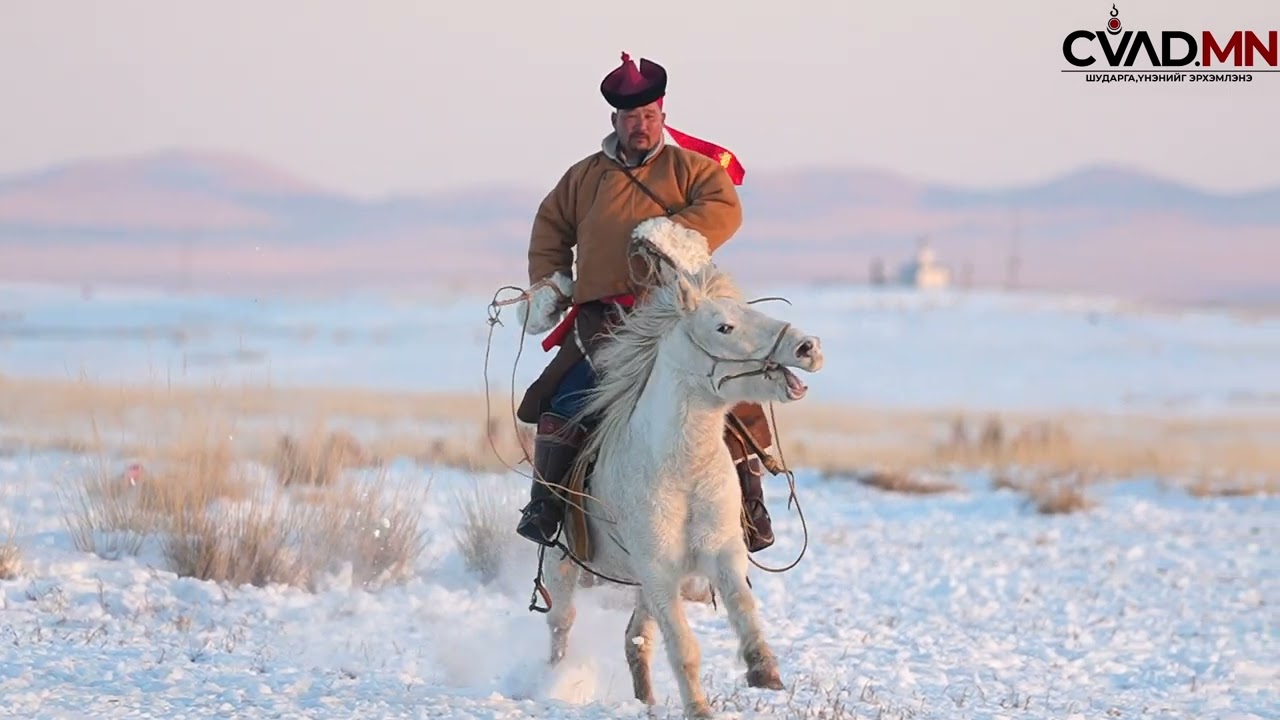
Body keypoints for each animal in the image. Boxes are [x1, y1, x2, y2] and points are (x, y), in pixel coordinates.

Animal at [538, 218, 825, 719]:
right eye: (724, 326)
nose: (808, 347)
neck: (682, 468)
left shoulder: (721, 553)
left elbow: (743, 607)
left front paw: (764, 669)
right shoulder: (657, 569)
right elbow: (684, 648)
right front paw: (700, 709)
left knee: (635, 638)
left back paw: (646, 701)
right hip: (564, 563)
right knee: (561, 624)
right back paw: (553, 682)